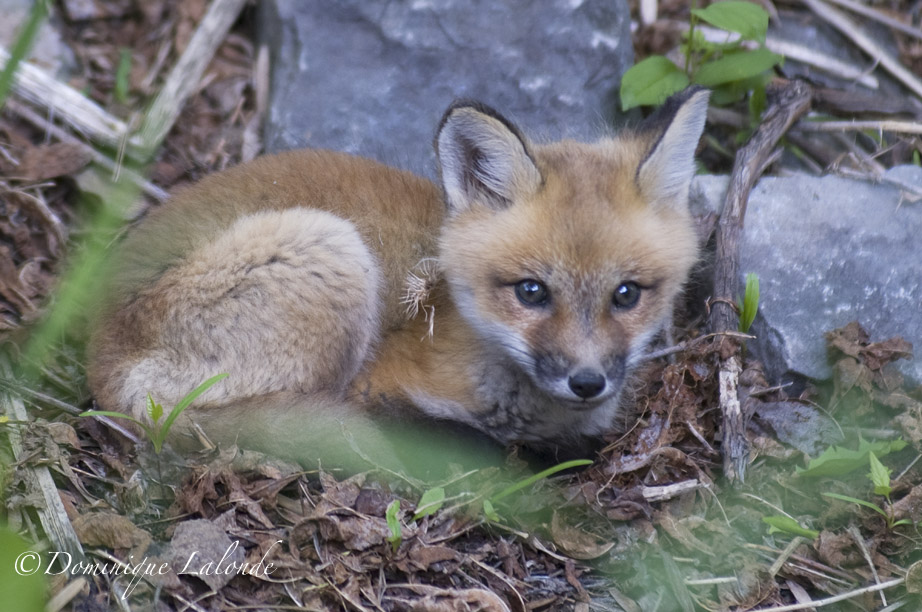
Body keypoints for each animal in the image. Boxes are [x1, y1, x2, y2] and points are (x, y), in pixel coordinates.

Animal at [86, 87, 710, 473]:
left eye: (626, 294)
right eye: (532, 291)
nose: (587, 382)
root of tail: (103, 359)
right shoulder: (378, 382)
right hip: (332, 251)